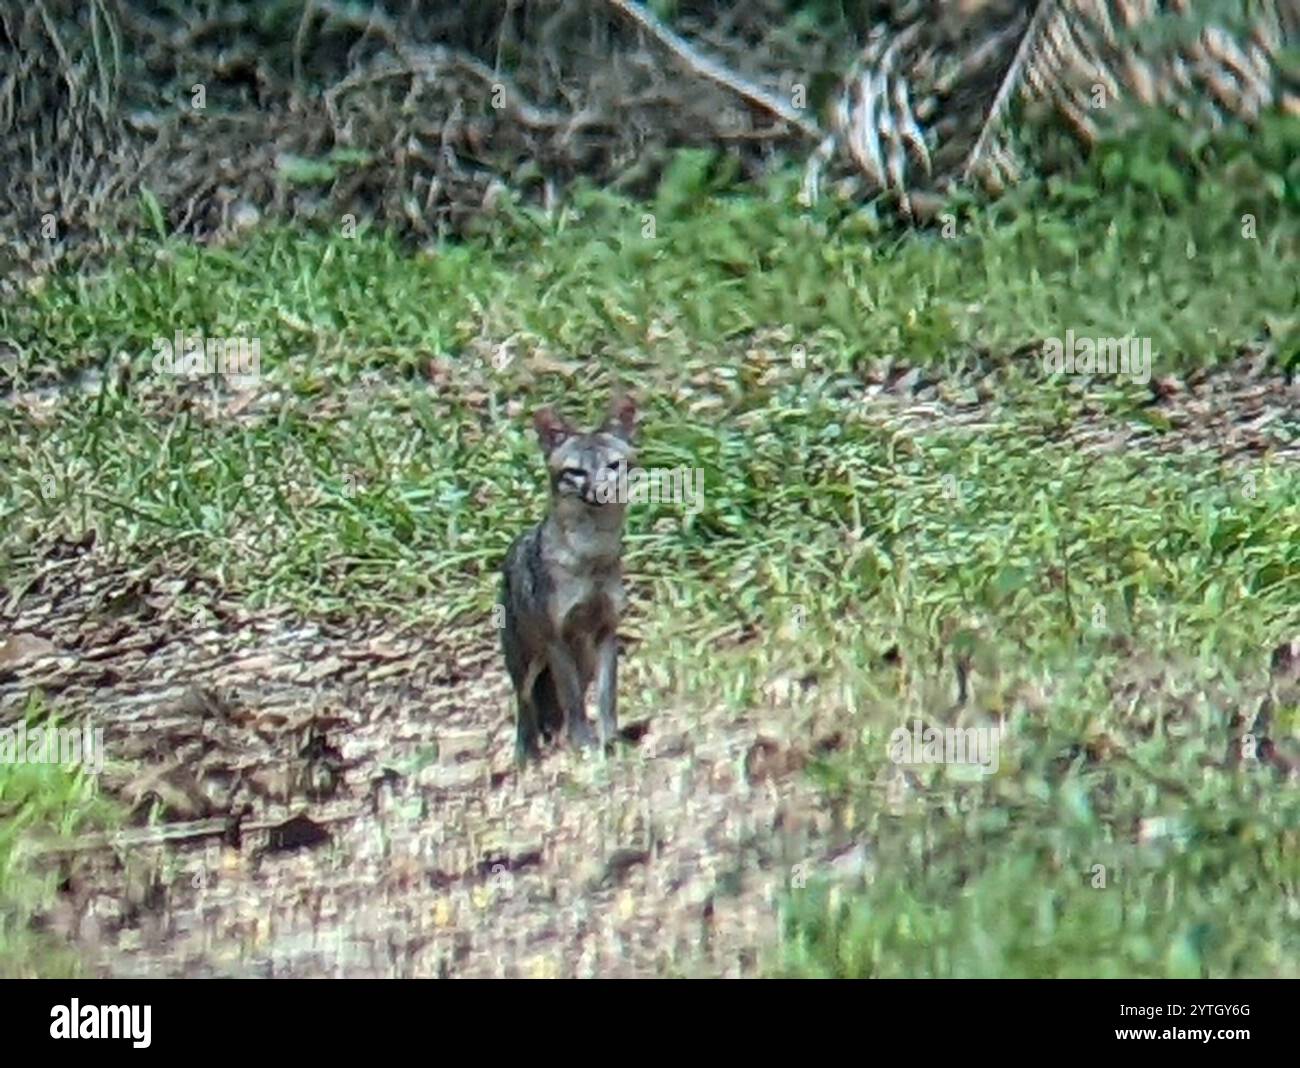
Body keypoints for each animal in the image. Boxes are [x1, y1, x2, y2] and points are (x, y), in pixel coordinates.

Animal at [500, 396, 637, 764]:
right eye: (577, 472)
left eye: (614, 465)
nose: (602, 490)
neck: (590, 558)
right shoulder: (556, 639)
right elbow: (574, 701)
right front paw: (585, 744)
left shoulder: (606, 632)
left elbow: (606, 697)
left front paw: (611, 739)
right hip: (526, 665)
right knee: (526, 709)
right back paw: (527, 757)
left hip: (584, 659)